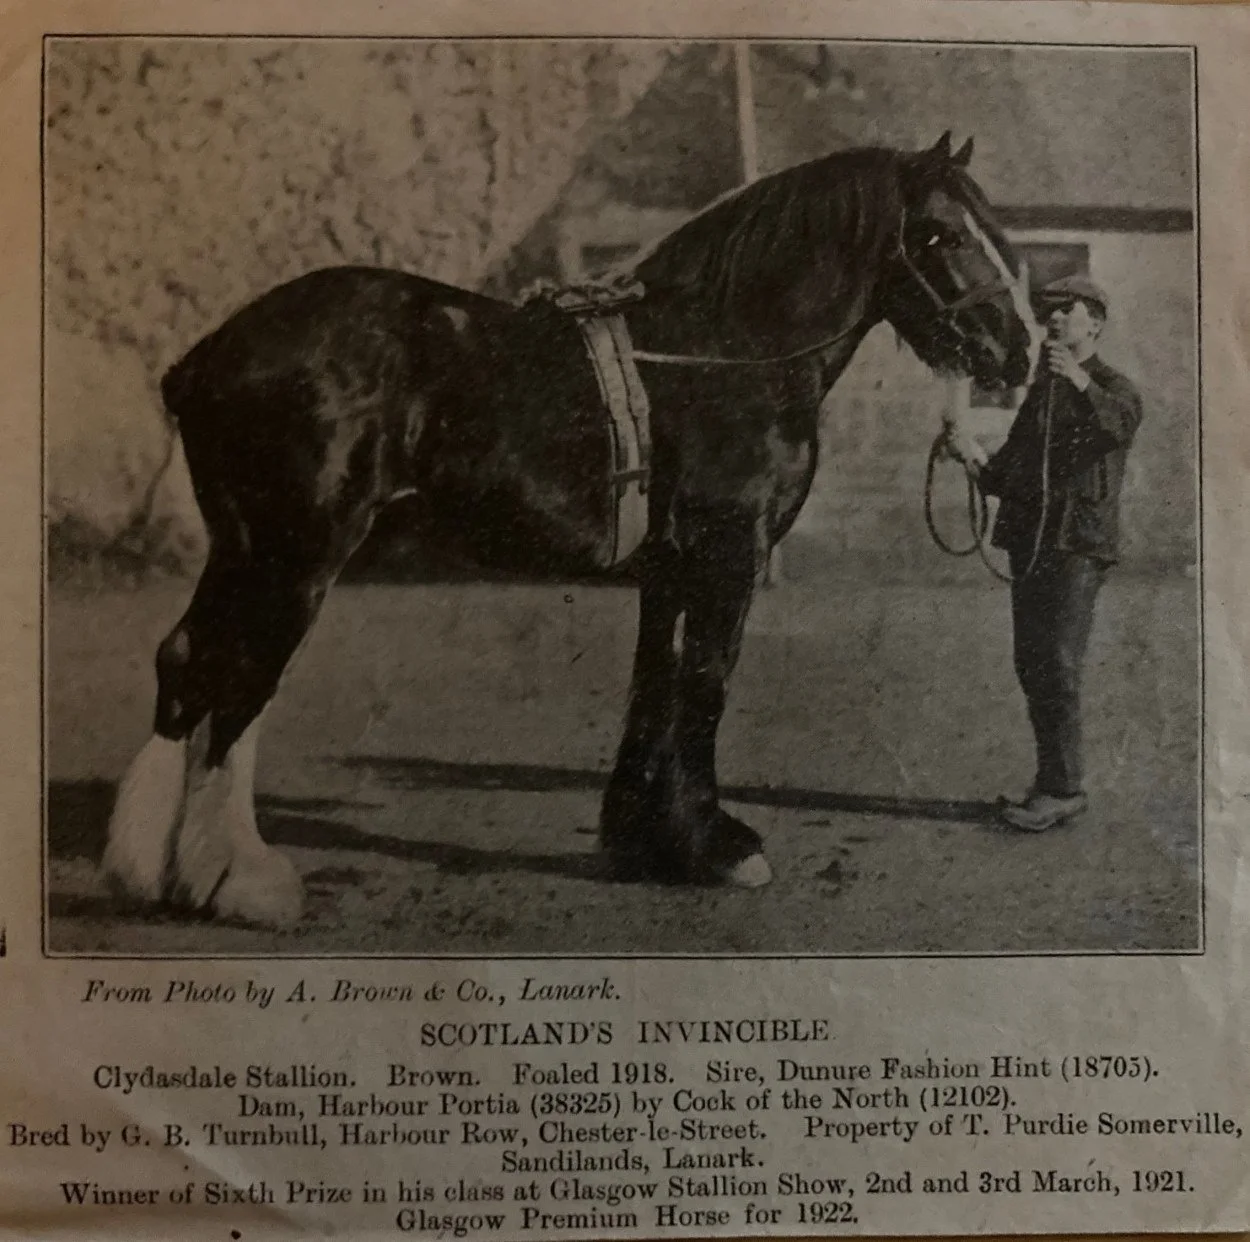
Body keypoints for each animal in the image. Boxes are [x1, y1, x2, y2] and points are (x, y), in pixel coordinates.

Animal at [100, 131, 1040, 929]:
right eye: (940, 235)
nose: (1020, 355)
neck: (722, 349)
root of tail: (207, 356)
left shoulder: (667, 568)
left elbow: (653, 689)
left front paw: (644, 840)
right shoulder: (728, 556)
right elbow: (706, 686)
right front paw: (718, 847)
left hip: (241, 550)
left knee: (188, 662)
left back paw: (150, 868)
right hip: (294, 558)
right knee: (240, 681)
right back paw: (239, 881)